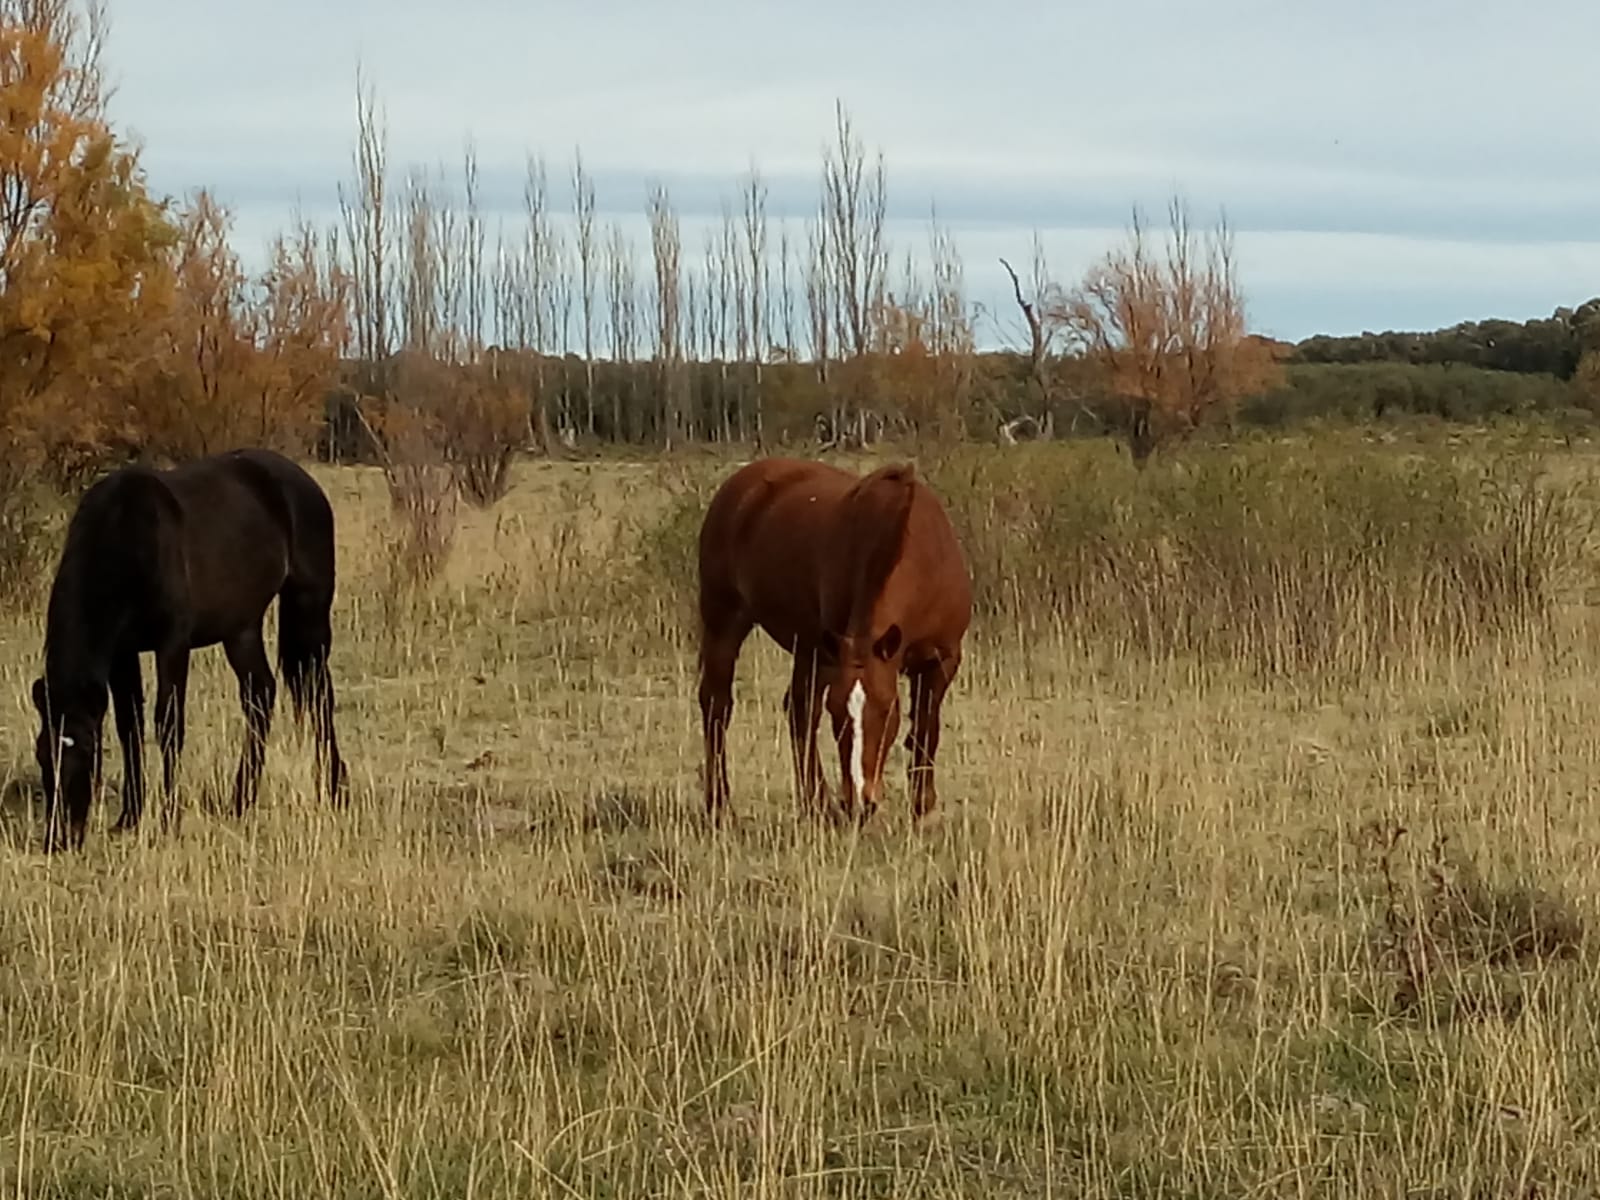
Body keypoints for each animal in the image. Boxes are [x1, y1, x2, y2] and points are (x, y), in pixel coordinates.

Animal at [29, 448, 348, 852]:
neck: (129, 539)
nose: (59, 839)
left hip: (309, 610)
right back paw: (240, 799)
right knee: (260, 695)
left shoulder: (172, 644)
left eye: (85, 751)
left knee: (319, 695)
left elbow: (168, 724)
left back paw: (335, 789)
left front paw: (169, 820)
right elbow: (129, 726)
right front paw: (129, 817)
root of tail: (303, 482)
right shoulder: (122, 654)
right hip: (241, 628)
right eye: (43, 754)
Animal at [695, 457, 972, 826]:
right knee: (717, 705)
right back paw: (721, 805)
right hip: (725, 623)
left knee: (798, 711)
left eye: (887, 709)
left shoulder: (943, 659)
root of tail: (740, 484)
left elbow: (927, 728)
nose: (860, 801)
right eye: (837, 710)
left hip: (808, 647)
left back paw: (816, 804)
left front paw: (923, 809)